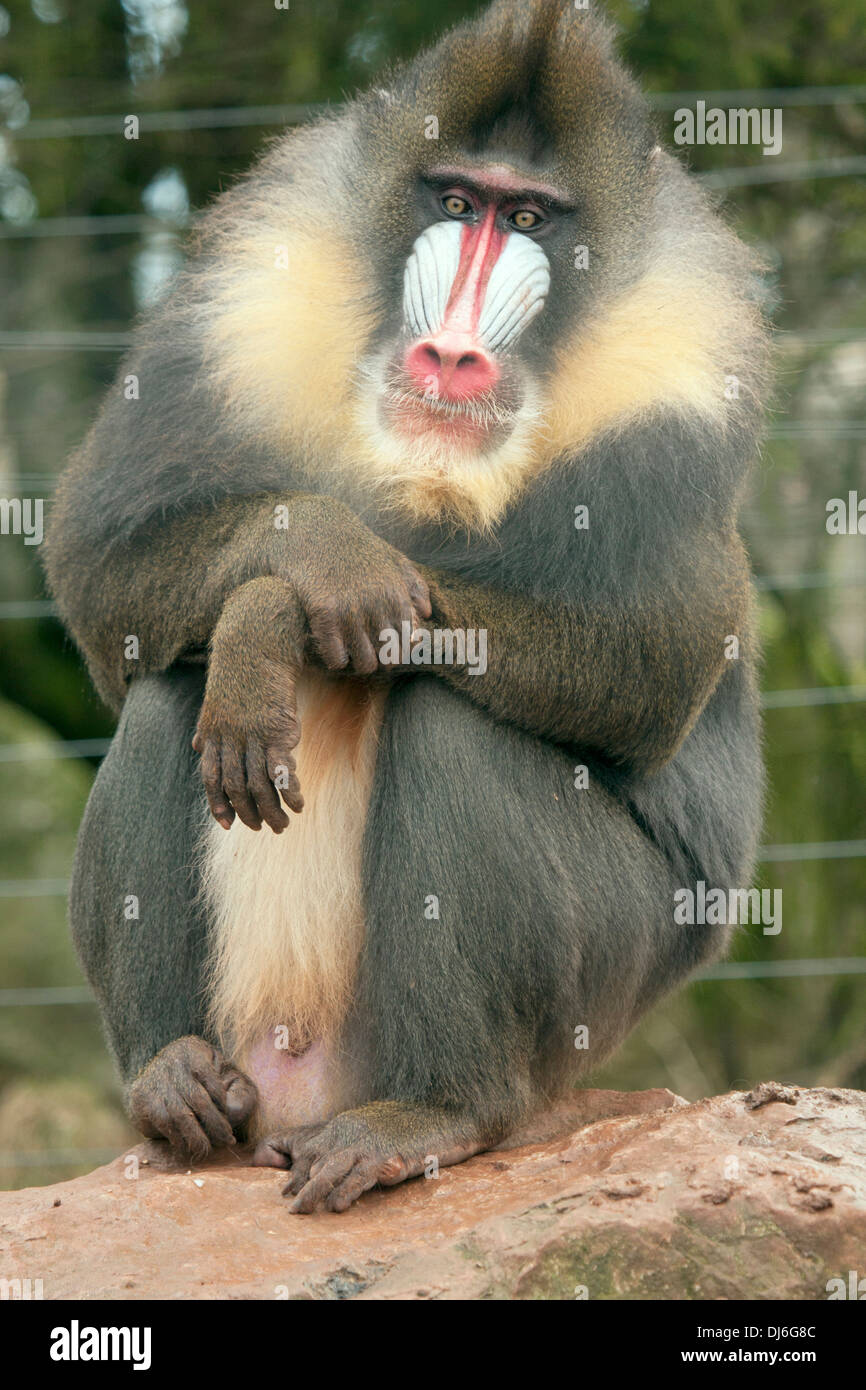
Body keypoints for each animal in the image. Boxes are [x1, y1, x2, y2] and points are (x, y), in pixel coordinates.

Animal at [44, 0, 770, 1214]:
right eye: (454, 203)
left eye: (527, 217)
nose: (452, 352)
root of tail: (299, 1091)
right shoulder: (240, 308)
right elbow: (100, 558)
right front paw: (311, 562)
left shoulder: (677, 390)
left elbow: (650, 657)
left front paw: (280, 620)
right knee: (170, 688)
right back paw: (170, 1078)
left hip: (599, 987)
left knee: (450, 722)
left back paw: (430, 1115)